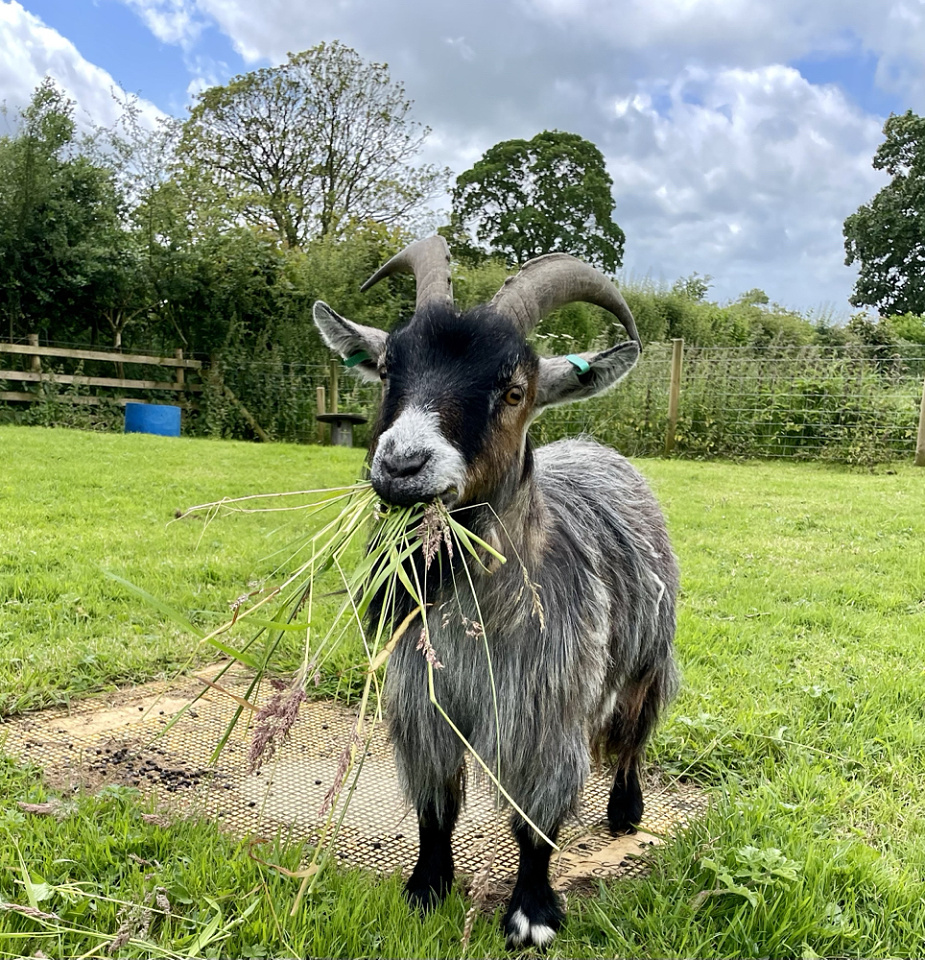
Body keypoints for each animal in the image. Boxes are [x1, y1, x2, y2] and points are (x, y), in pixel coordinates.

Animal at [313, 236, 679, 949]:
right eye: (388, 370)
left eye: (514, 391)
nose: (401, 465)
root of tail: (596, 446)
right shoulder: (423, 704)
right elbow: (436, 806)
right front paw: (426, 888)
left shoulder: (545, 711)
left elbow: (537, 820)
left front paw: (532, 914)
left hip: (649, 658)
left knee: (632, 735)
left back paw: (625, 811)